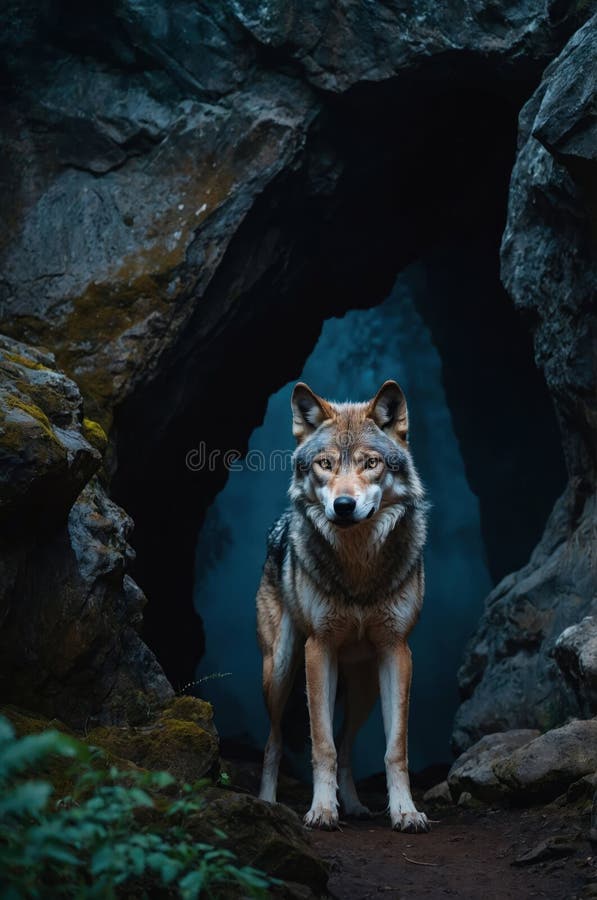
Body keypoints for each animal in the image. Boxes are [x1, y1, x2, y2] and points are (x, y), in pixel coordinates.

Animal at [256, 379, 429, 833]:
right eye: (325, 464)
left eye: (370, 463)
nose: (344, 506)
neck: (359, 570)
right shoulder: (319, 649)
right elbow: (322, 744)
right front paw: (320, 810)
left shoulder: (397, 651)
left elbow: (394, 748)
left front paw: (405, 811)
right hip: (281, 669)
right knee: (274, 740)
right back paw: (267, 803)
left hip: (364, 685)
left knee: (348, 743)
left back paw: (353, 804)